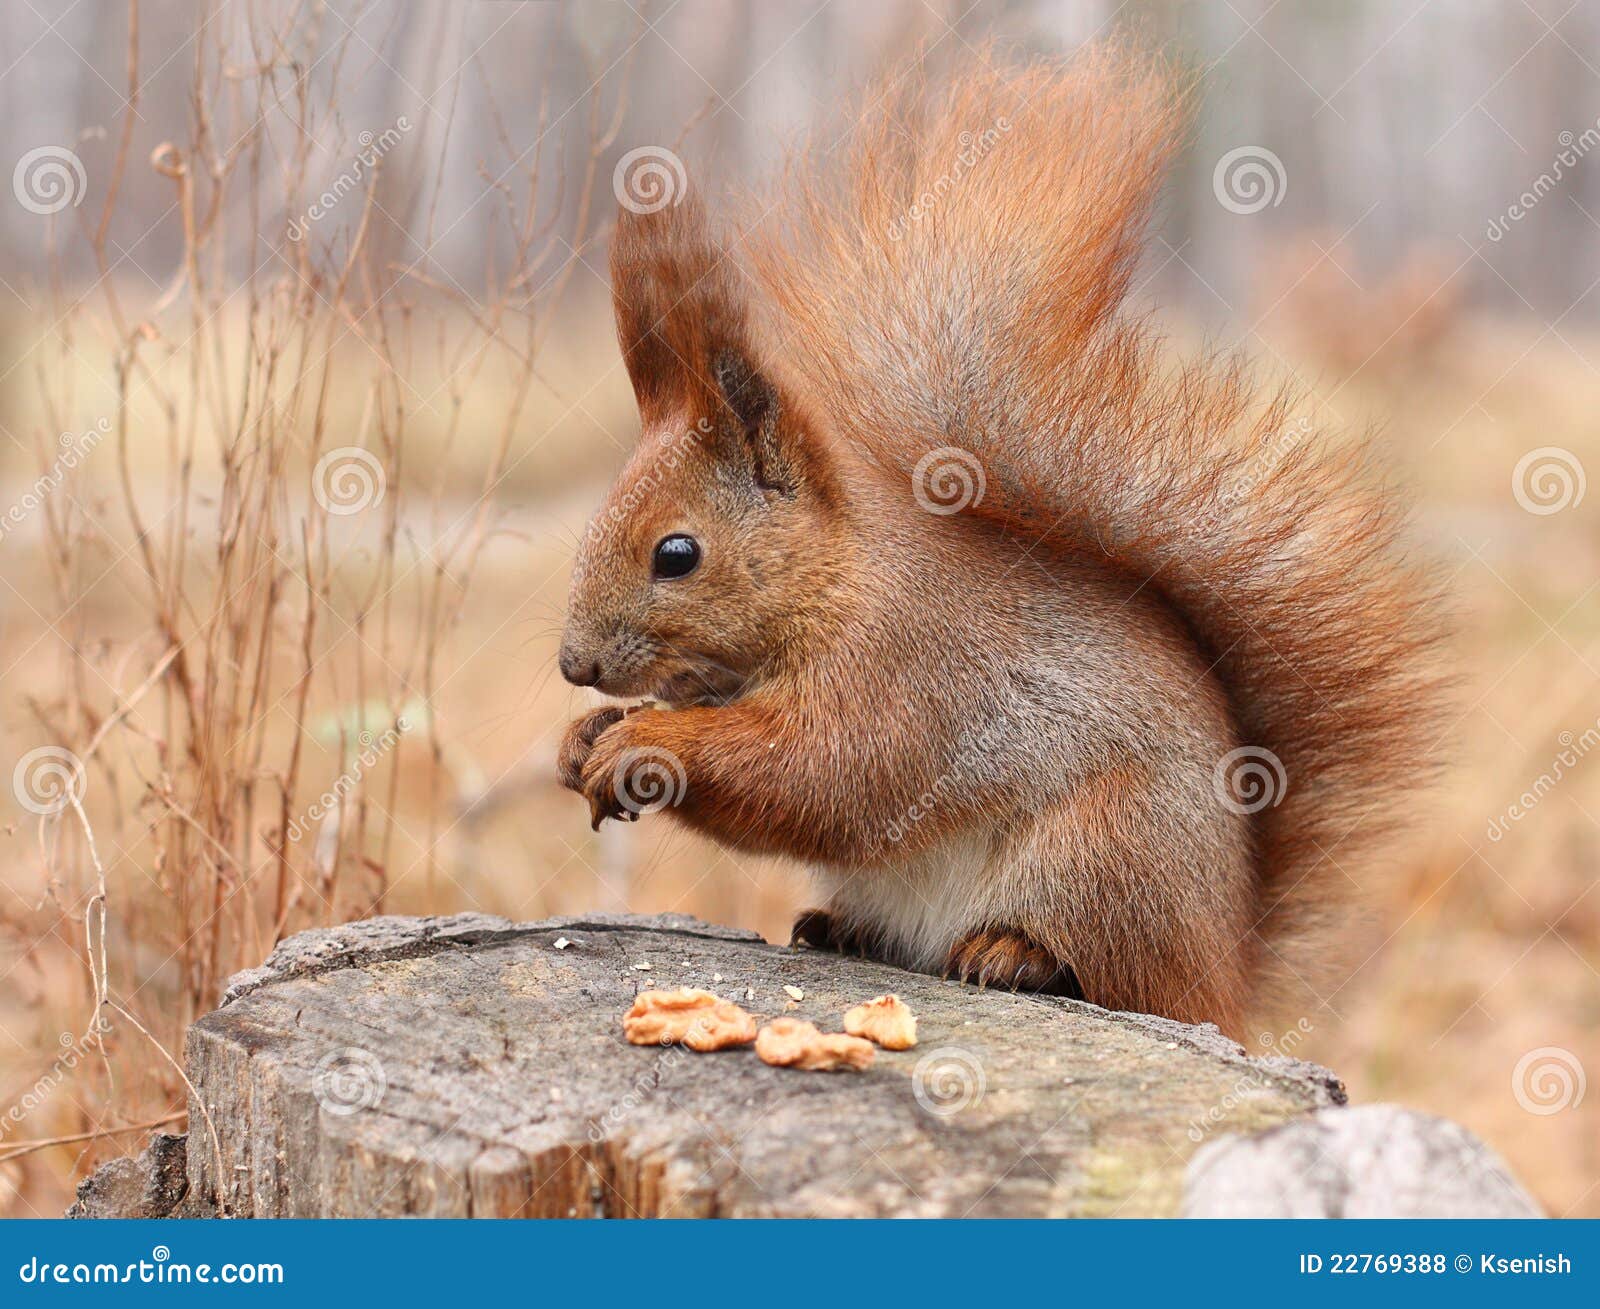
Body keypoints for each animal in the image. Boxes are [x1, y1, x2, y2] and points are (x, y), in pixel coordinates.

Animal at [556, 43, 1445, 1038]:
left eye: (677, 554)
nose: (573, 664)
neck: (834, 580)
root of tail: (1225, 973)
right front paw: (585, 736)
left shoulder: (904, 672)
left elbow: (821, 774)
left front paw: (646, 747)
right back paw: (841, 927)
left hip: (1103, 856)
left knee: (1110, 974)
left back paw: (1015, 955)